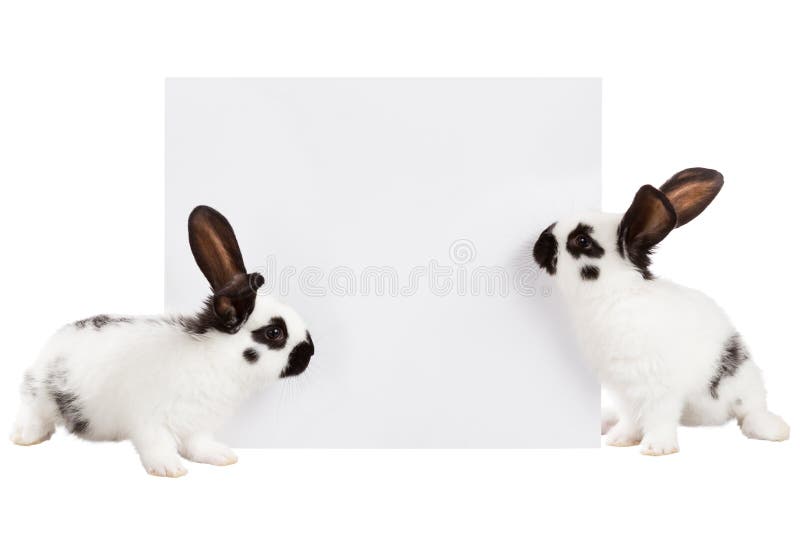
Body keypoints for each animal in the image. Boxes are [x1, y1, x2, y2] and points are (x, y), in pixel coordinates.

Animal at [10, 205, 314, 476]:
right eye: (274, 333)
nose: (310, 352)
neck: (215, 358)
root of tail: (49, 347)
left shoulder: (196, 425)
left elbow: (197, 445)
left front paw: (221, 456)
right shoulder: (150, 420)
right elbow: (157, 446)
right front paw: (170, 470)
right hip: (41, 396)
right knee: (32, 412)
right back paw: (26, 437)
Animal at [532, 168, 789, 455]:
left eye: (582, 240)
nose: (538, 242)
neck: (616, 294)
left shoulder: (659, 386)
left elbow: (659, 417)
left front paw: (656, 448)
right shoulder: (624, 389)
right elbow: (631, 417)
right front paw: (622, 439)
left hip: (742, 386)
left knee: (750, 411)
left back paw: (774, 430)